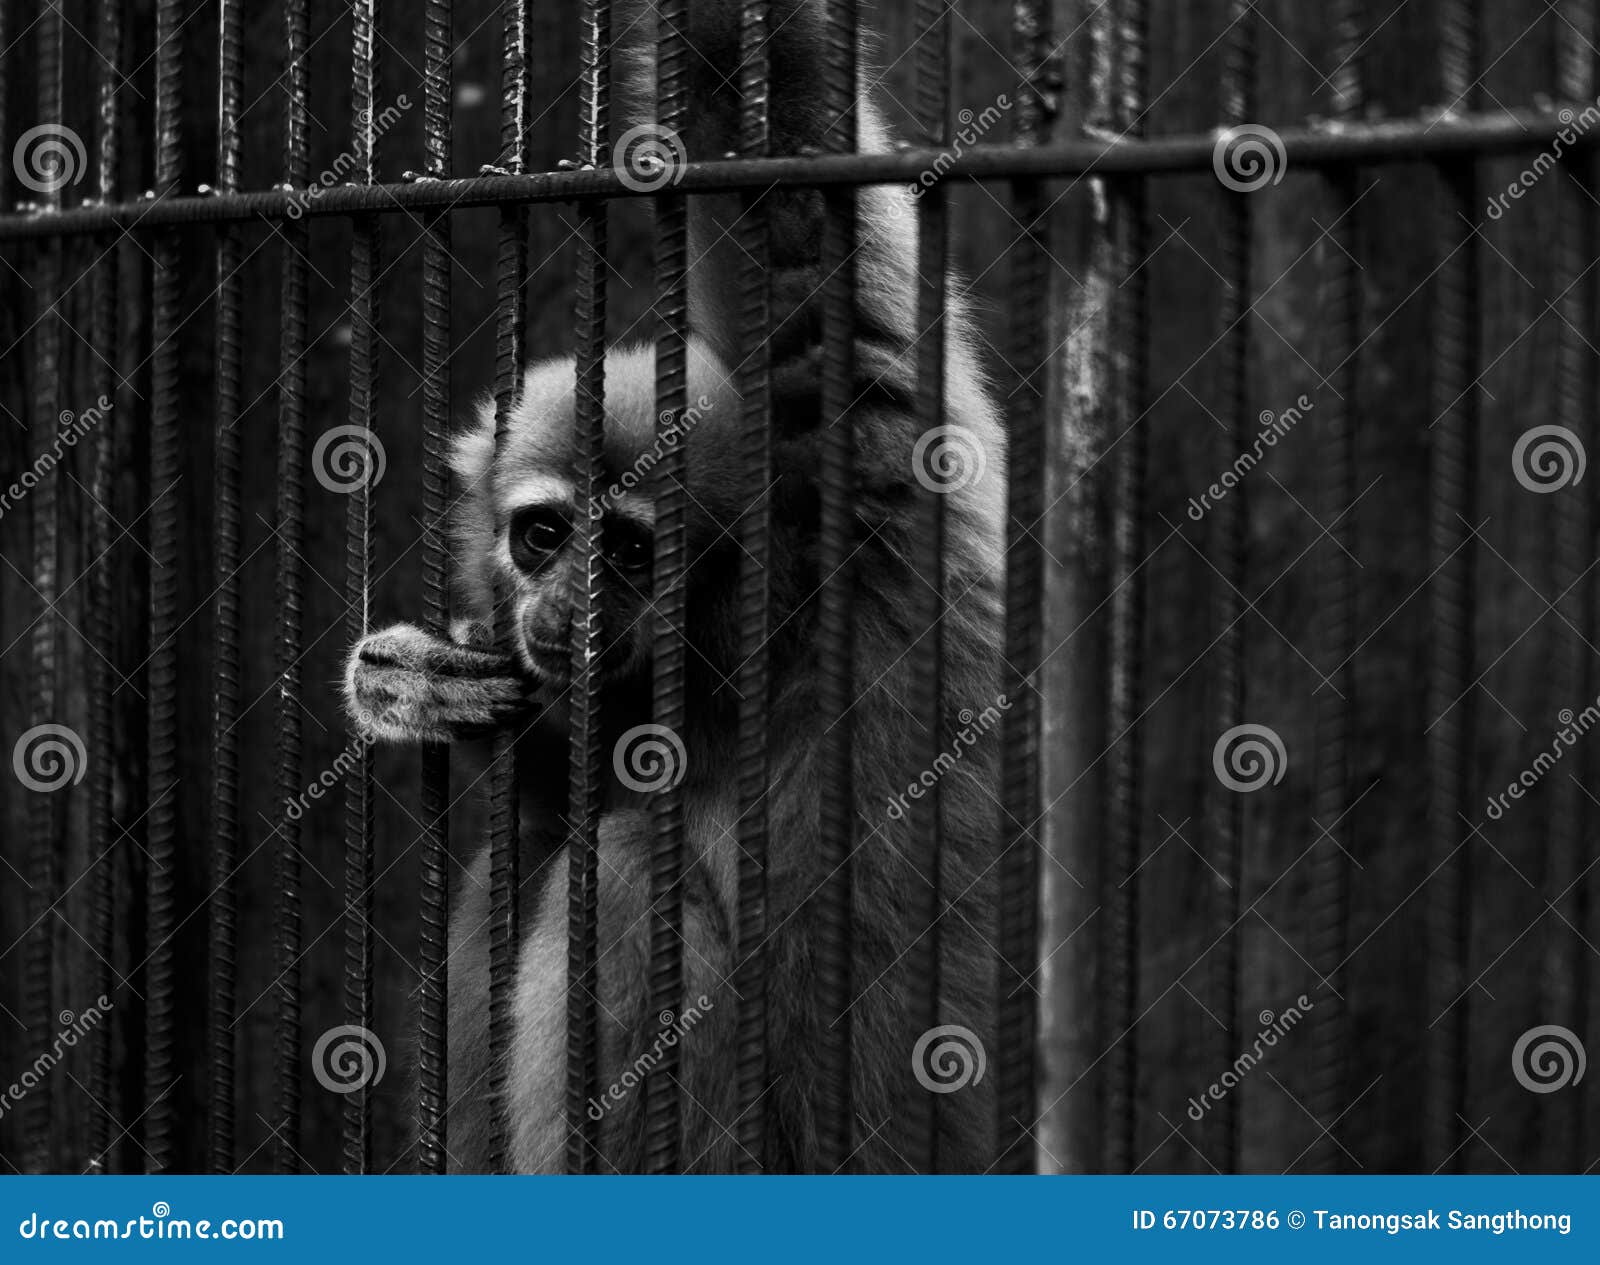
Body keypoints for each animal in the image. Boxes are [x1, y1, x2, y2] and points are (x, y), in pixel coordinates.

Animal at [346, 0, 1010, 1172]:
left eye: (631, 553)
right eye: (544, 534)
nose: (567, 606)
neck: (731, 661)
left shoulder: (858, 489)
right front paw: (414, 682)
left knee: (613, 878)